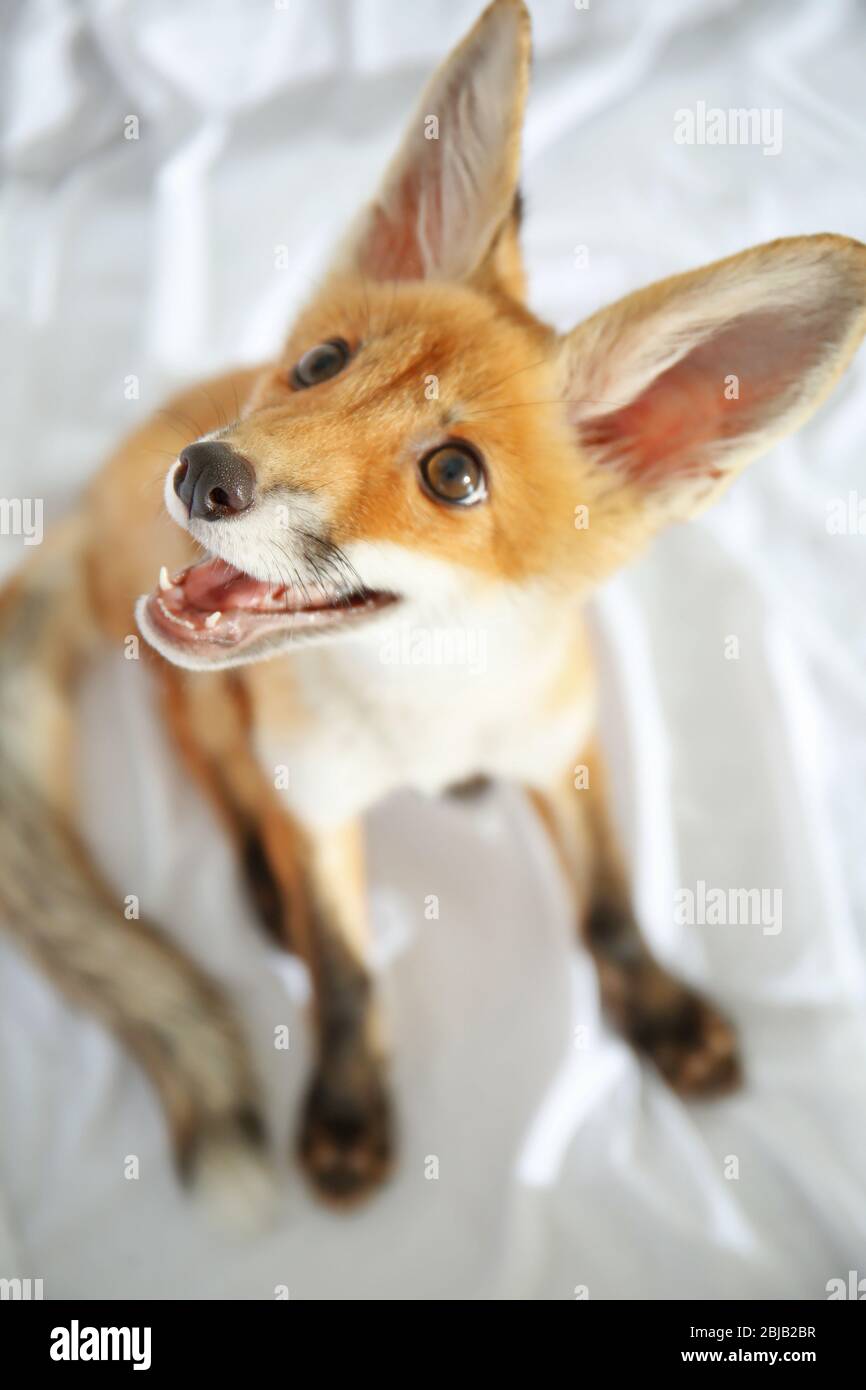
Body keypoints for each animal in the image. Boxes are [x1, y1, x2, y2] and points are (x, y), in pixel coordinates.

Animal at [2, 0, 866, 1219]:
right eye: (321, 363)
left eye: (452, 475)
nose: (204, 473)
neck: (422, 707)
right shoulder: (320, 803)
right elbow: (345, 970)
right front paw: (346, 1105)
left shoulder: (563, 743)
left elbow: (607, 902)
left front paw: (656, 1013)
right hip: (200, 692)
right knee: (202, 747)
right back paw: (261, 879)